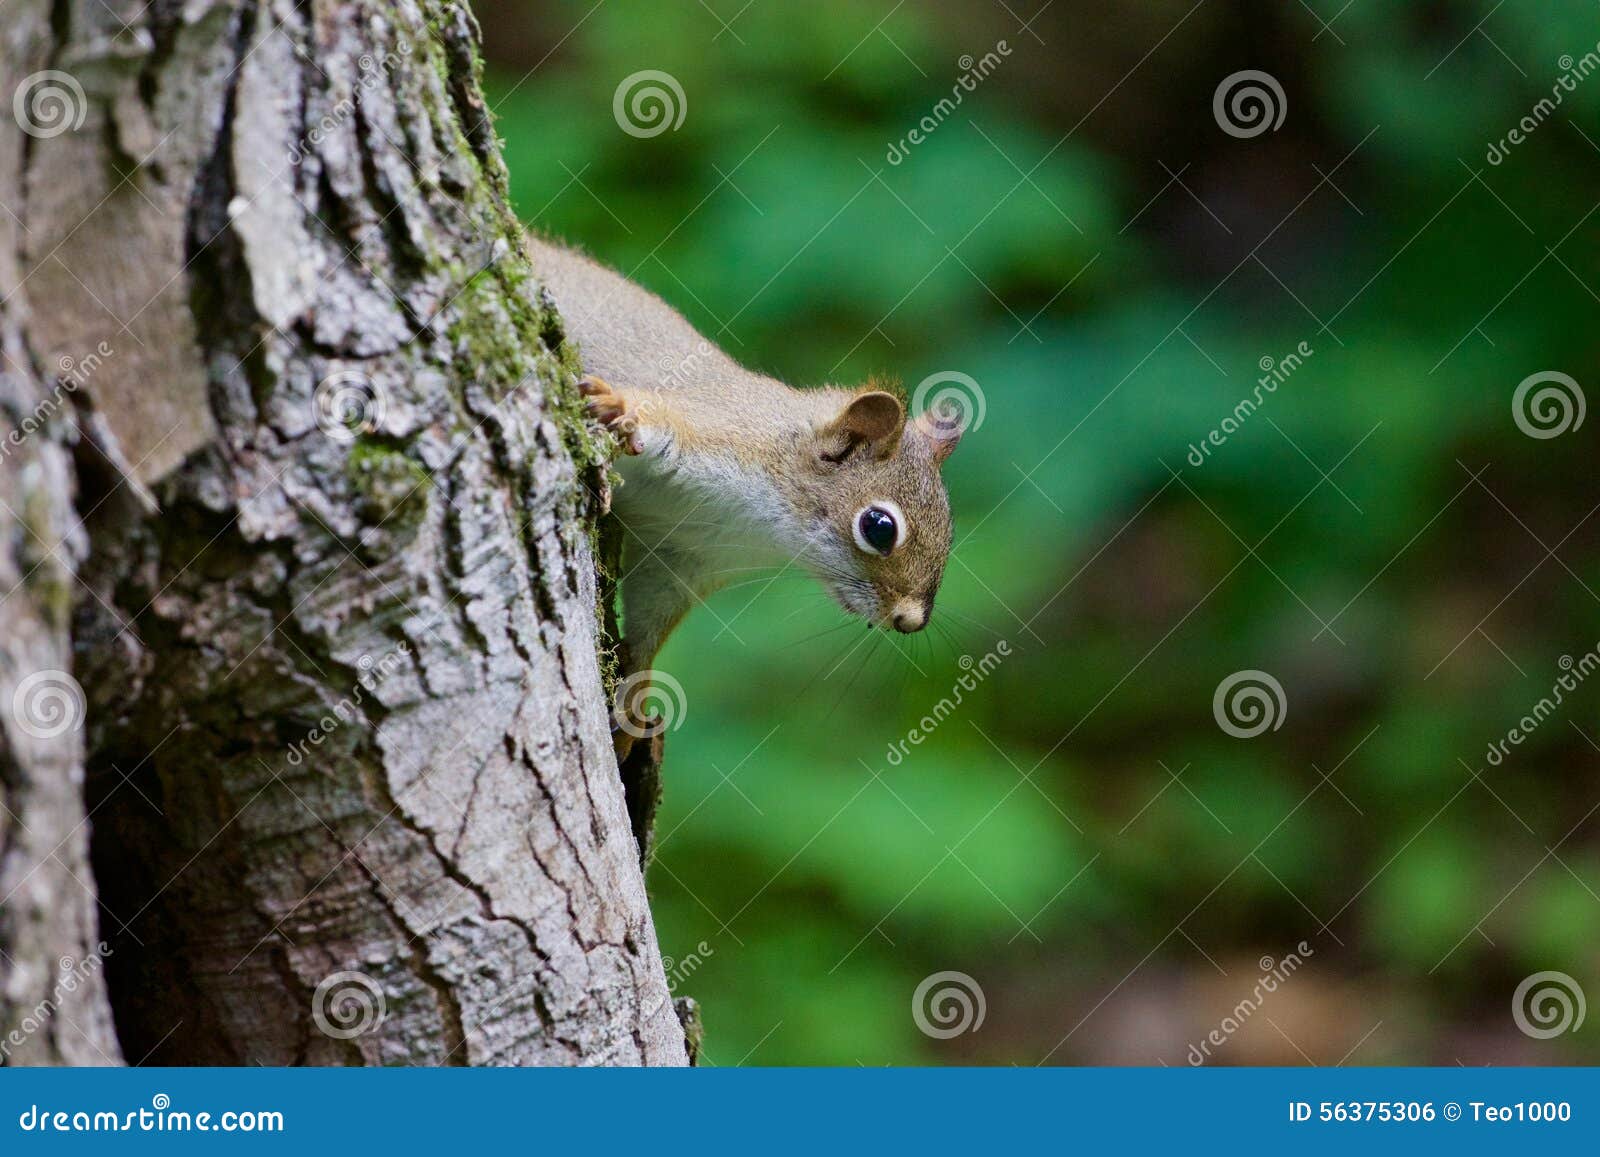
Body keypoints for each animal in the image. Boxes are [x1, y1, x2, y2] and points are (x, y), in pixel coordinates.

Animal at [528, 236, 962, 749]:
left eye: (951, 531)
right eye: (879, 528)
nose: (910, 620)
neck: (757, 528)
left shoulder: (681, 560)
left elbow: (649, 625)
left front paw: (634, 697)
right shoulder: (714, 431)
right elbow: (660, 418)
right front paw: (618, 404)